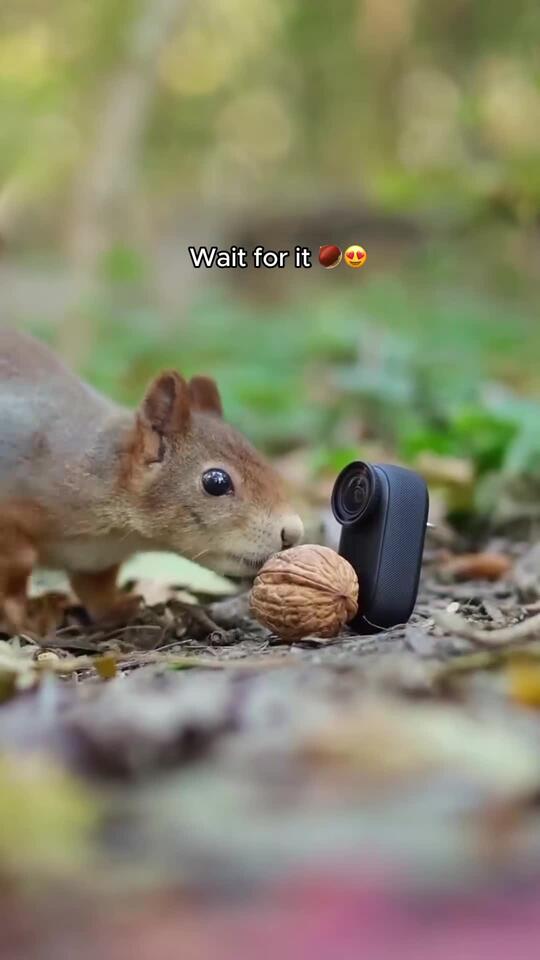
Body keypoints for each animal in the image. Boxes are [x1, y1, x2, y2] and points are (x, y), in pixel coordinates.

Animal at [0, 328, 303, 632]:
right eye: (216, 482)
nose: (293, 533)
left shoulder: (97, 559)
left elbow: (95, 589)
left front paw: (124, 608)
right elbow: (17, 564)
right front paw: (24, 618)